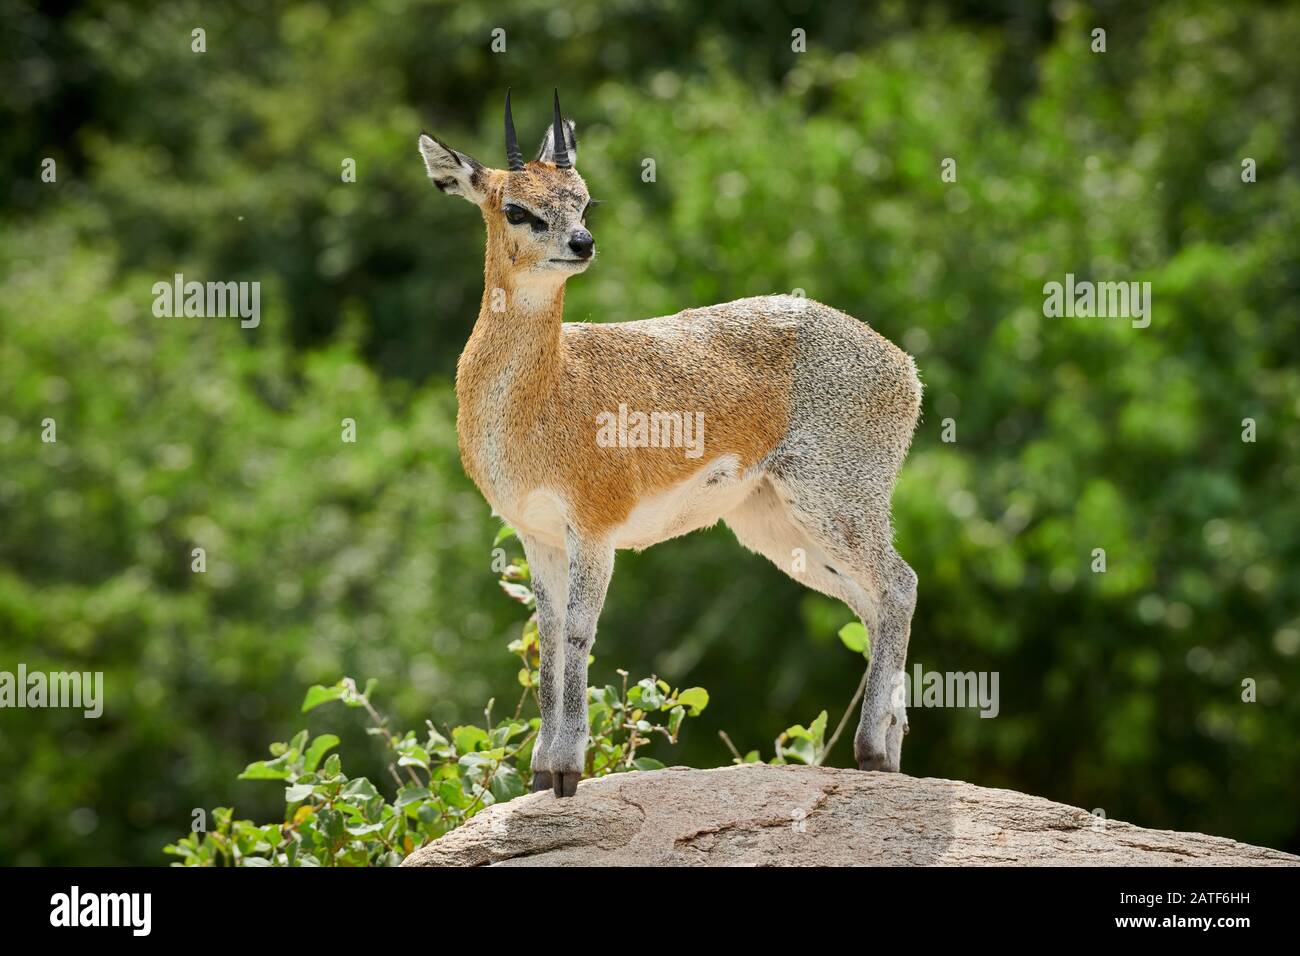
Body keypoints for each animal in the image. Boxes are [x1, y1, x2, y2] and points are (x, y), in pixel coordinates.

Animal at [418, 91, 922, 797]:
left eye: (583, 199)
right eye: (514, 207)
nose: (582, 243)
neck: (547, 393)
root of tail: (906, 366)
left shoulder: (594, 528)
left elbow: (579, 633)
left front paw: (567, 769)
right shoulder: (536, 533)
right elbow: (548, 638)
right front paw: (541, 773)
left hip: (837, 500)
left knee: (899, 584)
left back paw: (874, 752)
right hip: (773, 525)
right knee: (872, 602)